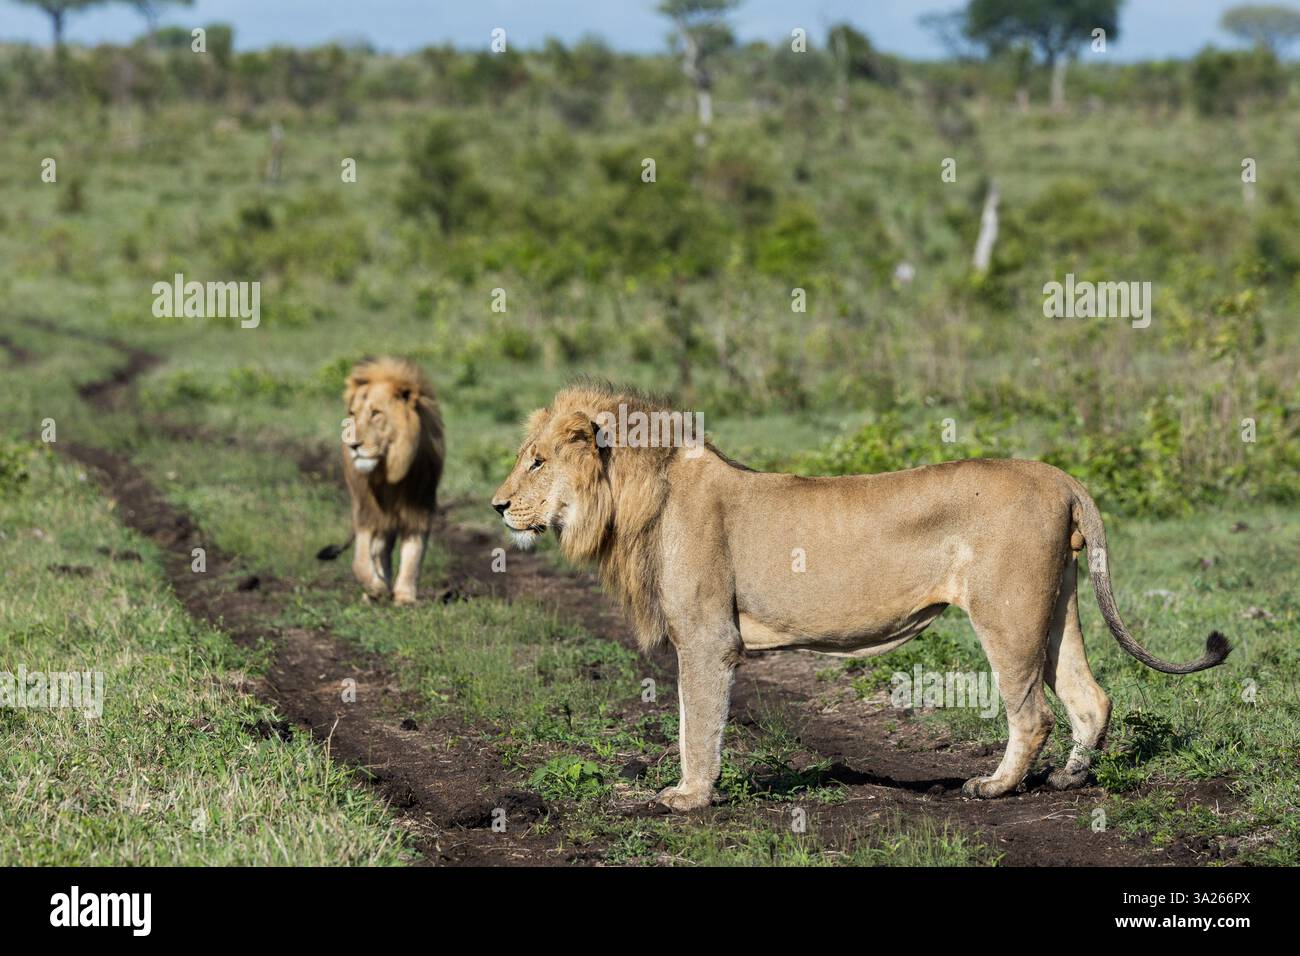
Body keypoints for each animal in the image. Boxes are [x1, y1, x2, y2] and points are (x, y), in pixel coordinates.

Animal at [318, 357, 444, 605]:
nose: (353, 446)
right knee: (378, 549)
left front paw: (405, 597)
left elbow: (413, 555)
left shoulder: (419, 509)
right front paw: (376, 587)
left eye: (376, 413)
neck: (388, 474)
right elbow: (361, 559)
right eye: (353, 414)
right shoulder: (367, 512)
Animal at [492, 383, 1230, 810]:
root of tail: (1058, 475)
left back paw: (992, 787)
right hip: (1057, 610)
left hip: (1008, 613)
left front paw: (688, 797)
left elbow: (695, 724)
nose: (497, 506)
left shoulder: (708, 638)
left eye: (537, 461)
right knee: (1089, 696)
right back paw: (1071, 781)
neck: (639, 496)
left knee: (1034, 713)